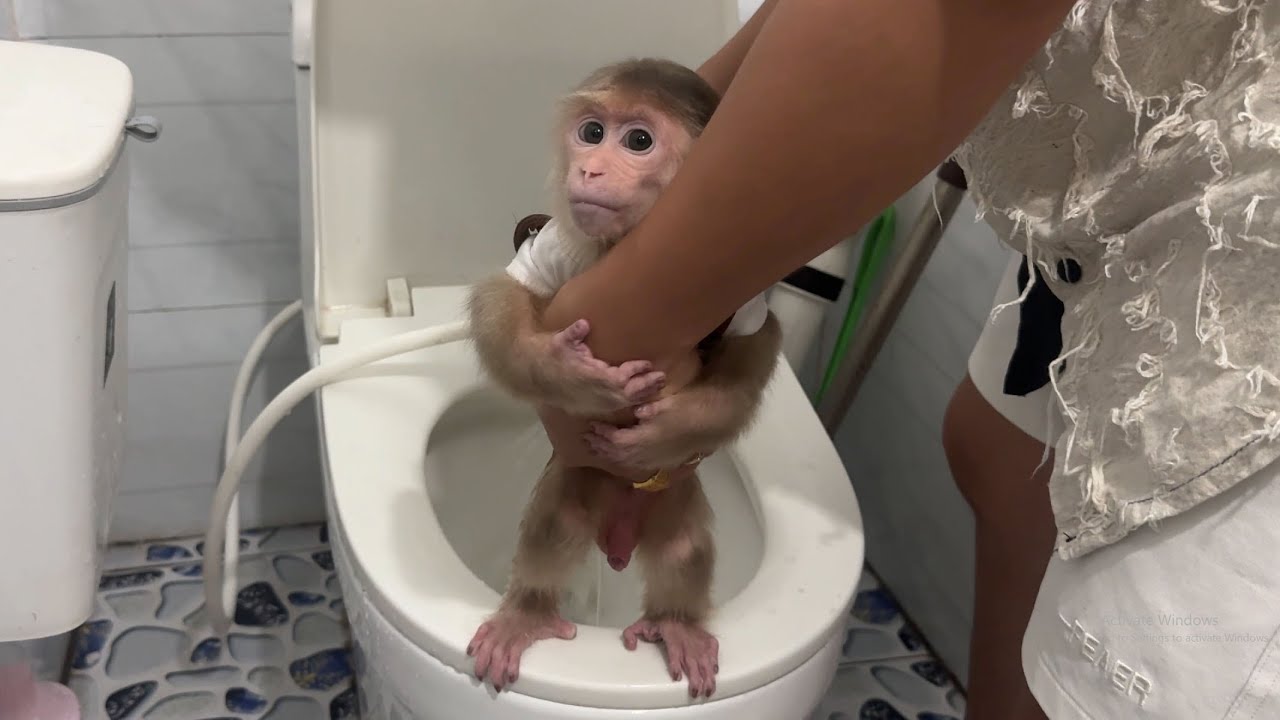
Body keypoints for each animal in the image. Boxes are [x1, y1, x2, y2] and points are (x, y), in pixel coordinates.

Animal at [465, 58, 783, 699]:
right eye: (591, 132)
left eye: (638, 141)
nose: (589, 167)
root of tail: (618, 536)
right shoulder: (555, 244)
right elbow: (503, 299)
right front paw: (562, 370)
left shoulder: (747, 296)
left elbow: (753, 351)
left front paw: (675, 429)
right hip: (578, 482)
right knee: (555, 525)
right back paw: (526, 614)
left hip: (674, 502)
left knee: (685, 550)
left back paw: (676, 622)